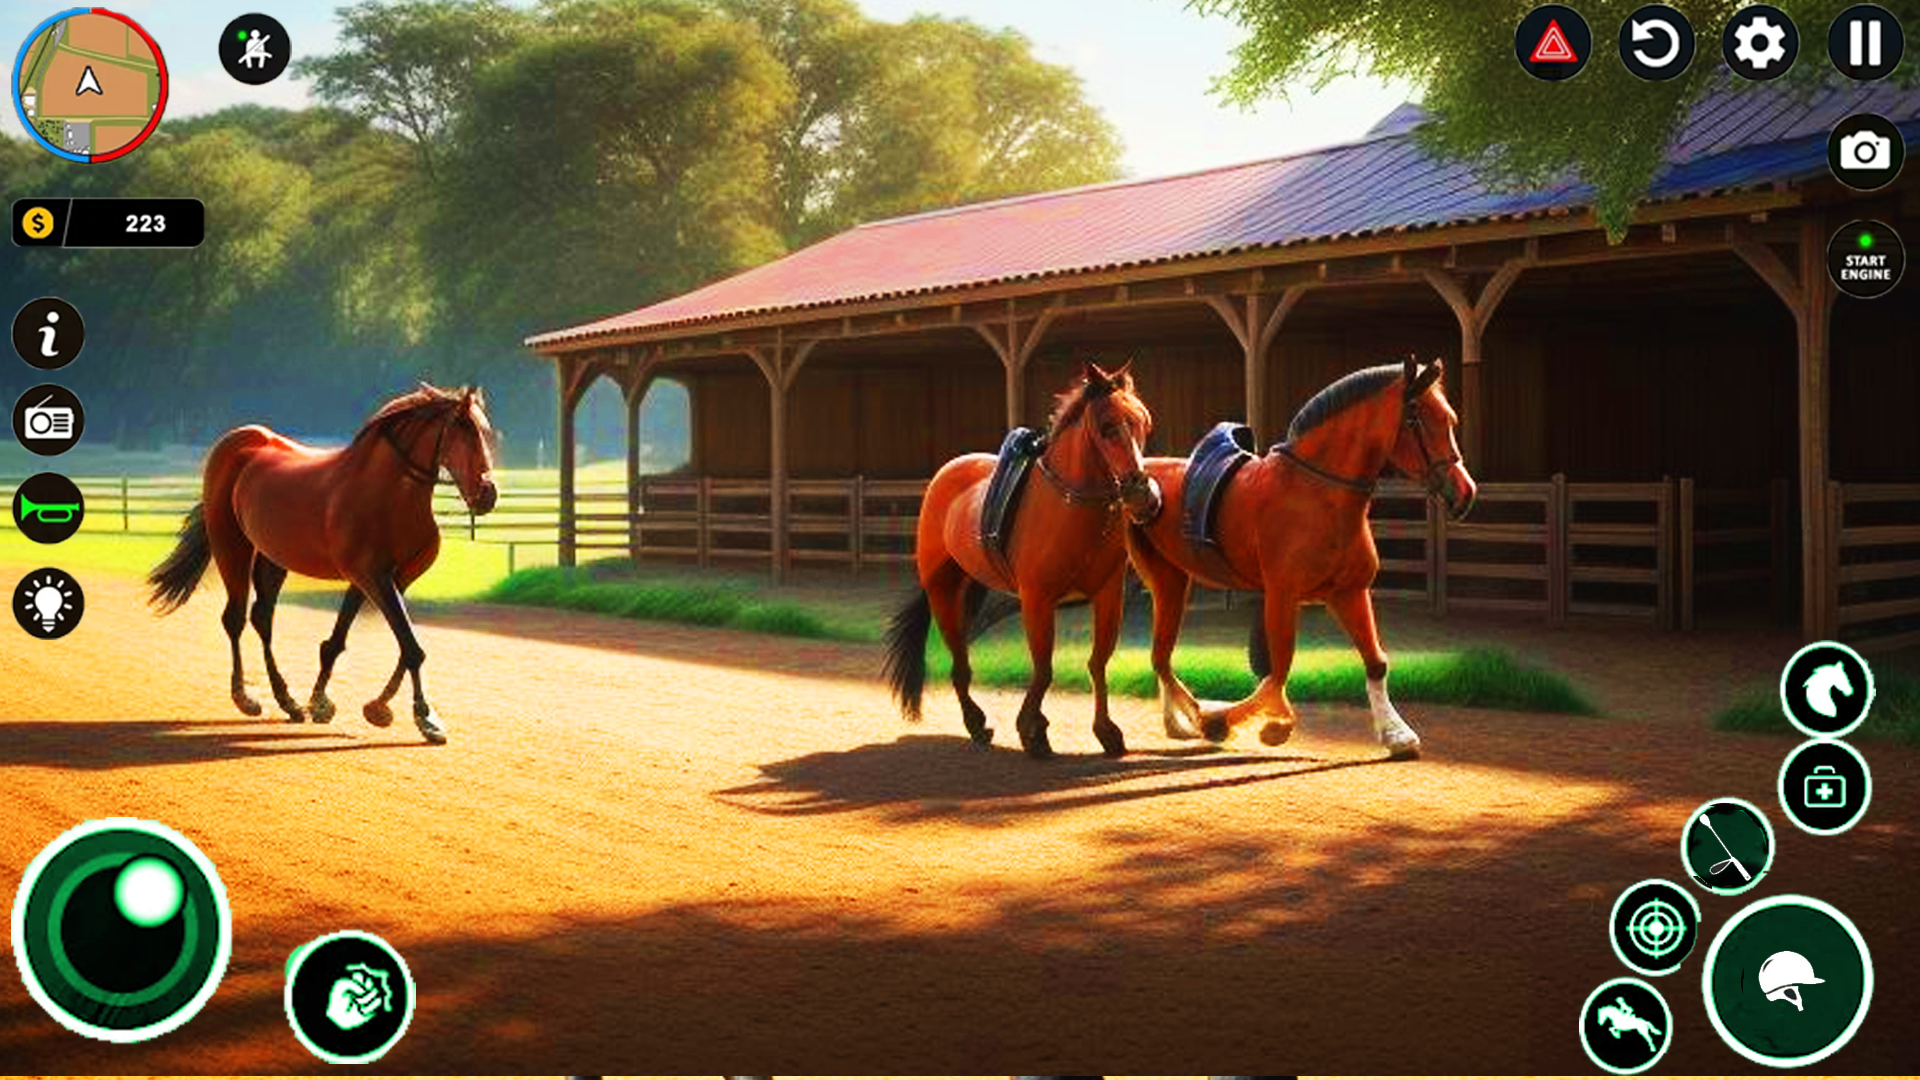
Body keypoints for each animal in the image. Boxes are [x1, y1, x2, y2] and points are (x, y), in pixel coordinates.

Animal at [146, 383, 499, 745]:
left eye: (487, 433)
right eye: (465, 432)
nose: (487, 495)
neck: (387, 493)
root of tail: (237, 441)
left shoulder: (388, 578)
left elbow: (361, 641)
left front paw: (358, 706)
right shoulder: (372, 576)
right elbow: (411, 647)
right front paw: (425, 718)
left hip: (273, 557)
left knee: (262, 618)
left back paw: (288, 701)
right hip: (231, 545)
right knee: (235, 619)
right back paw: (245, 698)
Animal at [882, 361, 1163, 759]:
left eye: (1143, 423)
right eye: (1107, 426)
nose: (1143, 495)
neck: (1070, 505)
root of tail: (946, 474)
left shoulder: (1108, 594)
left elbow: (1098, 662)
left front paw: (1107, 732)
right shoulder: (1037, 597)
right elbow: (1043, 667)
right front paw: (1033, 730)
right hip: (942, 590)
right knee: (959, 663)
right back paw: (976, 723)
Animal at [1124, 358, 1475, 759]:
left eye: (1449, 419)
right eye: (1417, 419)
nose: (1464, 493)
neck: (1317, 493)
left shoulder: (1349, 593)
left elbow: (1375, 661)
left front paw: (1396, 734)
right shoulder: (1282, 595)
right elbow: (1278, 669)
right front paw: (1253, 725)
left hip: (1172, 579)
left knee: (1161, 657)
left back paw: (1179, 723)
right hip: (1157, 579)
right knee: (1154, 655)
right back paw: (1187, 719)